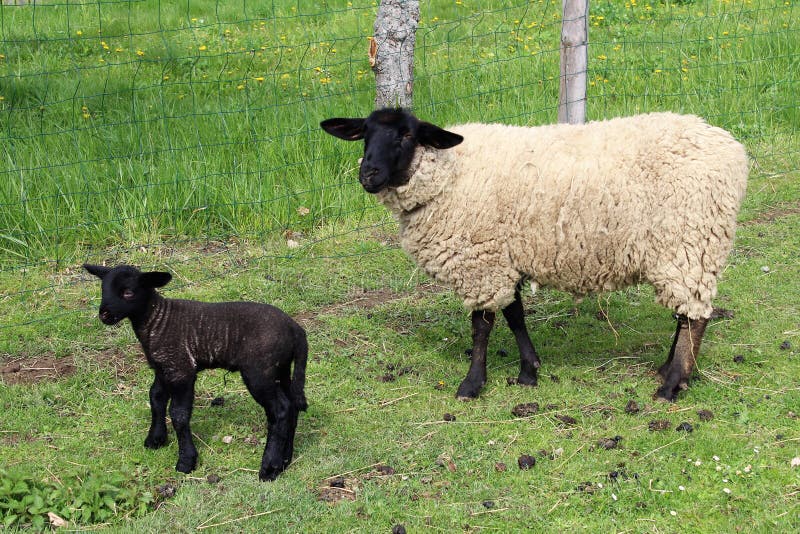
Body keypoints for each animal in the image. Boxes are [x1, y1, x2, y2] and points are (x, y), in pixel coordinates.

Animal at [83, 264, 308, 481]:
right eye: (103, 290)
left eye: (128, 292)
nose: (104, 314)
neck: (156, 319)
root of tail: (296, 330)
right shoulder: (163, 368)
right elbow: (155, 398)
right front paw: (155, 439)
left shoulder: (181, 370)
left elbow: (179, 414)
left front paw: (186, 461)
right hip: (281, 369)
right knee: (292, 407)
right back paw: (284, 460)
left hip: (260, 371)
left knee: (280, 410)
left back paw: (269, 467)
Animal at [320, 108, 748, 402]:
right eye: (364, 134)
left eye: (407, 135)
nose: (368, 175)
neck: (448, 175)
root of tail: (731, 148)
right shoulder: (504, 256)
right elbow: (514, 315)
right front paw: (529, 371)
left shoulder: (482, 262)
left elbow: (481, 326)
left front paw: (472, 384)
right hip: (685, 249)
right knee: (686, 314)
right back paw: (670, 369)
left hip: (689, 242)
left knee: (694, 316)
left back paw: (673, 384)